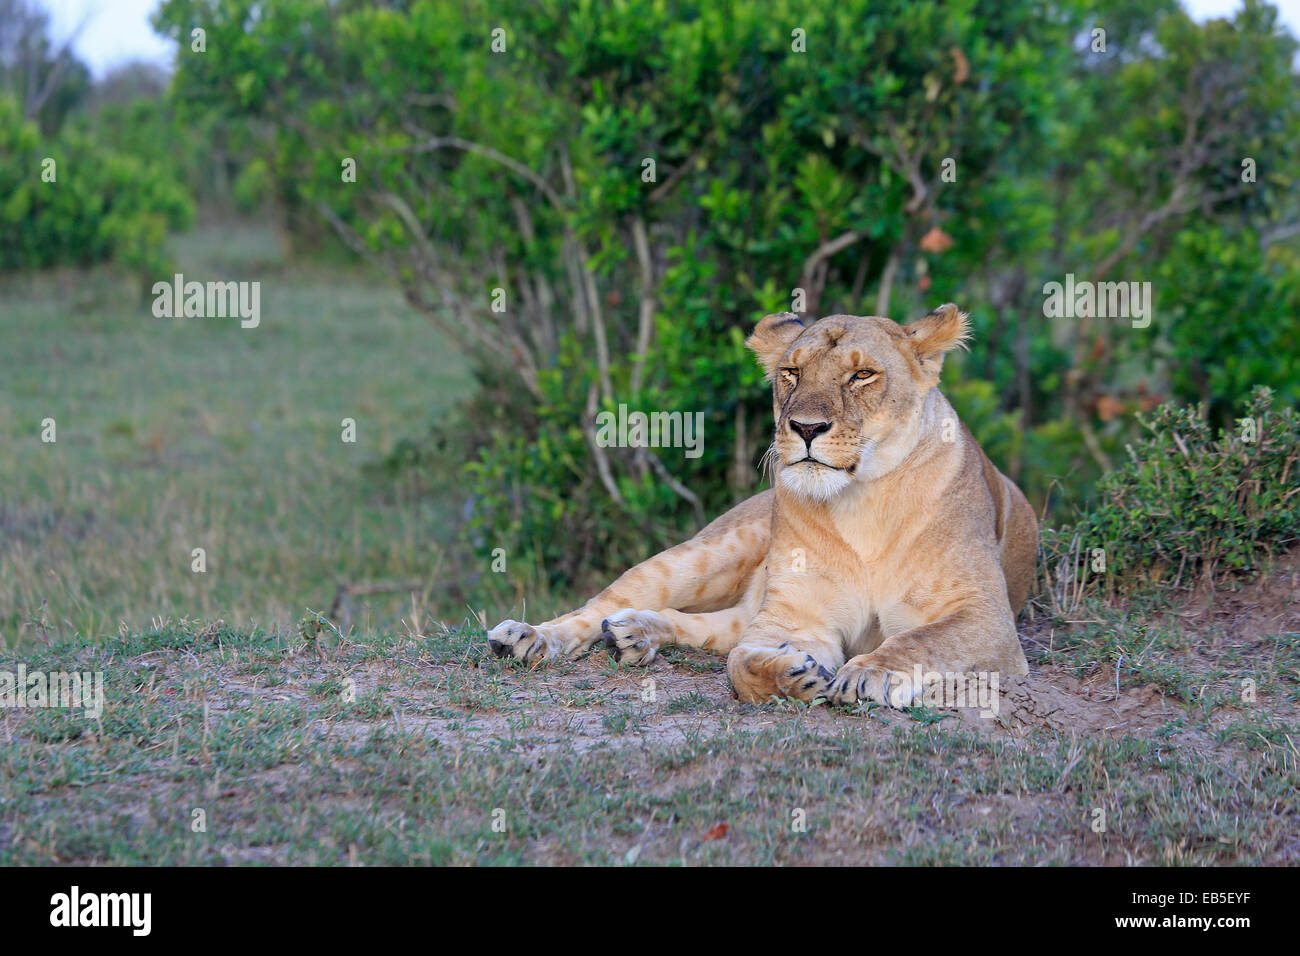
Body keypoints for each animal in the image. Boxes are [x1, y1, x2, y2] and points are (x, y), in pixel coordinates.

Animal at [486, 304, 1038, 708]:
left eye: (862, 374)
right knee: (600, 605)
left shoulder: (986, 616)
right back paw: (527, 638)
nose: (807, 428)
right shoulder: (795, 617)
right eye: (792, 371)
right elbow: (741, 663)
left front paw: (867, 675)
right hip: (707, 552)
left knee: (703, 625)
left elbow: (919, 641)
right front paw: (792, 675)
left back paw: (633, 635)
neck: (863, 502)